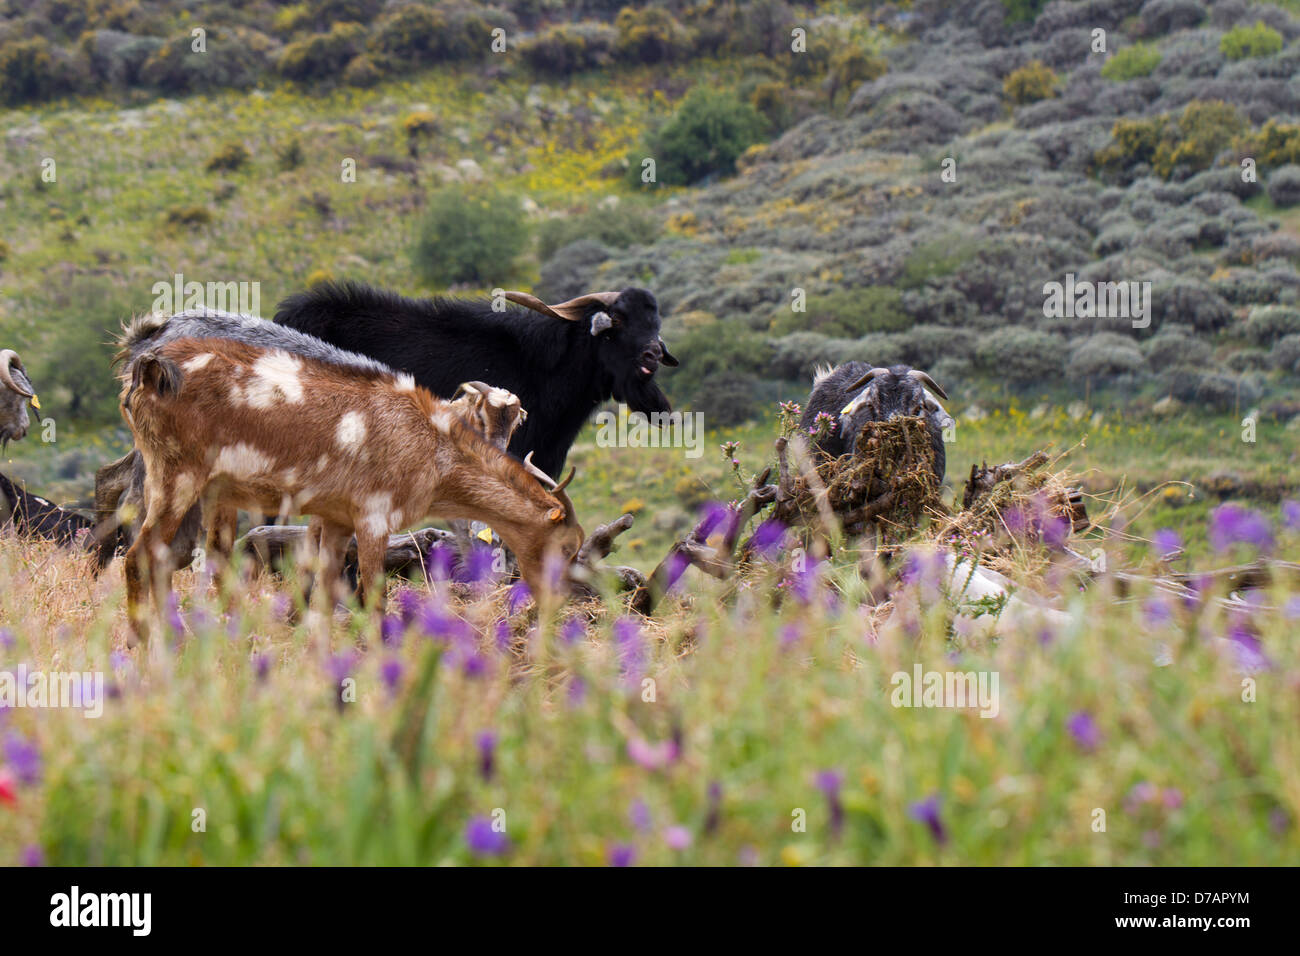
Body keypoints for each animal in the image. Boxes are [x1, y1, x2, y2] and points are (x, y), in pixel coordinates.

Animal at [119, 337, 584, 642]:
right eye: (567, 546)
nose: (555, 600)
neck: (432, 449)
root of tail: (150, 368)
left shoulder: (338, 518)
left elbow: (326, 593)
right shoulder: (375, 515)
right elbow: (372, 595)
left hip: (209, 488)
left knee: (192, 558)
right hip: (176, 474)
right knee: (140, 556)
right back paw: (146, 645)